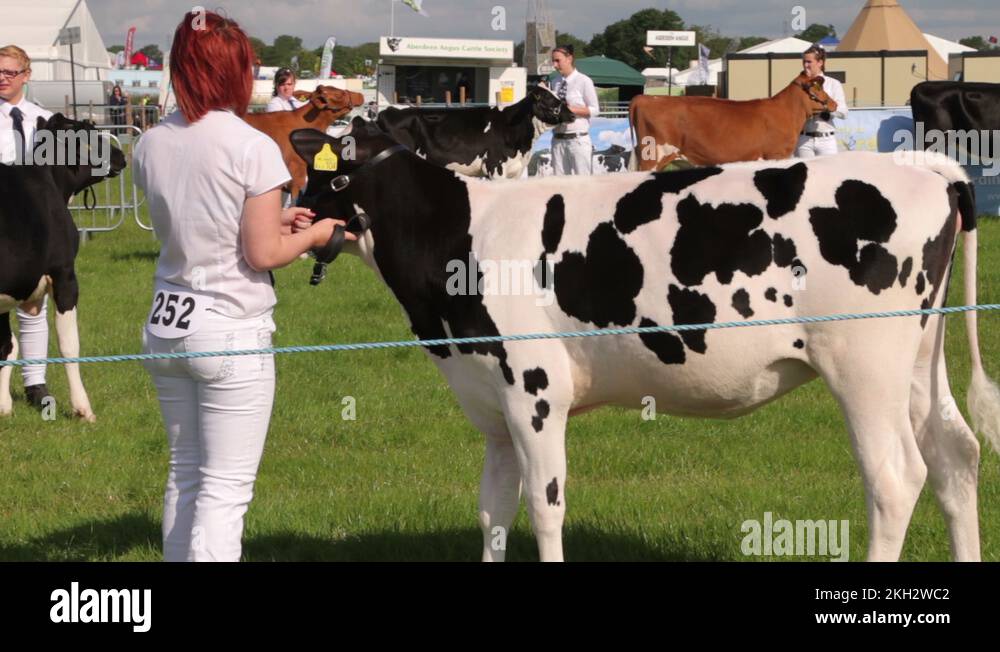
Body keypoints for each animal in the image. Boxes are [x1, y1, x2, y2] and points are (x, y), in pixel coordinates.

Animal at [1, 114, 127, 421]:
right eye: (91, 132)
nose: (121, 155)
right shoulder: (65, 275)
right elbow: (70, 345)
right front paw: (83, 408)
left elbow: (8, 345)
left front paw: (3, 406)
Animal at [290, 122, 1000, 562]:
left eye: (324, 169)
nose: (291, 211)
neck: (462, 236)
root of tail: (923, 167)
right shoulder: (493, 405)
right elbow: (494, 512)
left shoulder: (535, 393)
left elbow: (545, 505)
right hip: (917, 361)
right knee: (954, 456)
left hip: (864, 366)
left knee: (895, 476)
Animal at [629, 73, 837, 171]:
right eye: (817, 87)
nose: (834, 103)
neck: (786, 111)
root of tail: (643, 98)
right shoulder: (776, 155)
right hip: (652, 157)